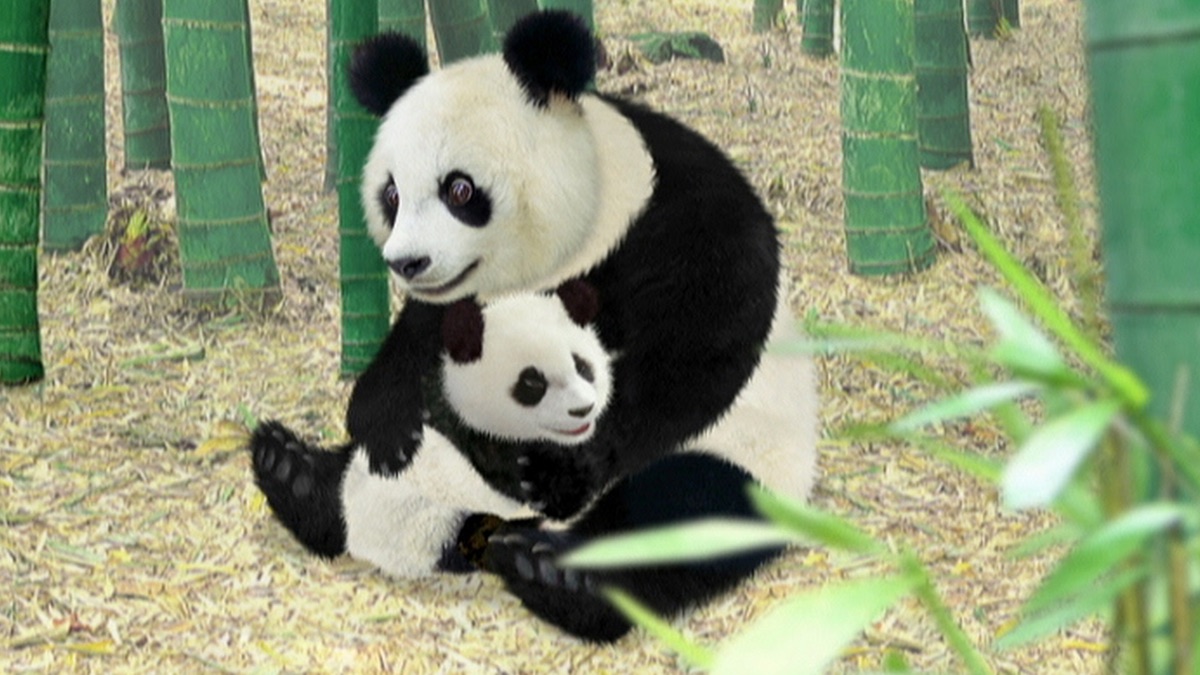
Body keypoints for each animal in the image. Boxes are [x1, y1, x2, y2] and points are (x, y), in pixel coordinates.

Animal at [329, 10, 815, 641]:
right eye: (390, 193)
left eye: (459, 189)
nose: (406, 262)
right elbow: (422, 344)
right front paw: (386, 421)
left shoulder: (688, 228)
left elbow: (692, 359)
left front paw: (558, 472)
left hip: (754, 454)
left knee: (685, 507)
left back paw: (556, 575)